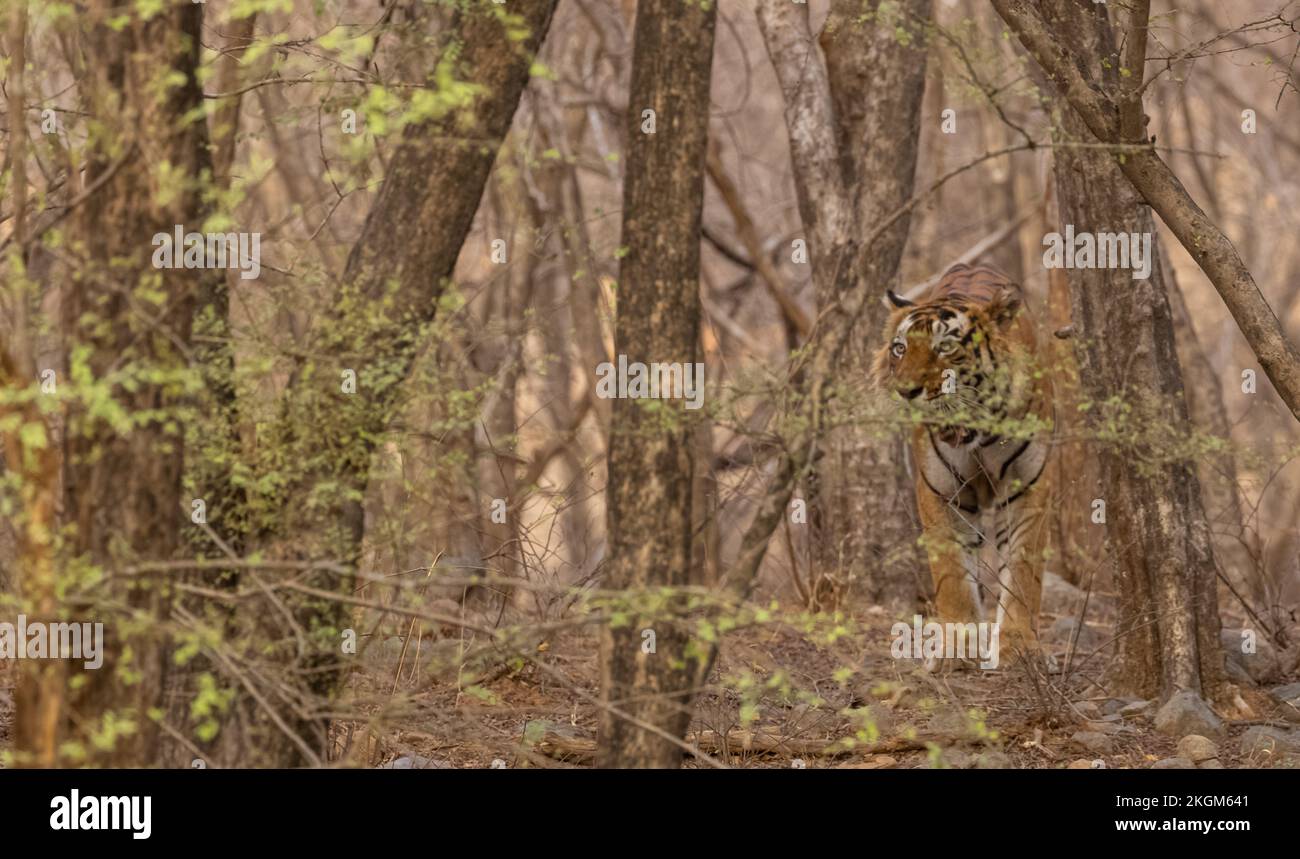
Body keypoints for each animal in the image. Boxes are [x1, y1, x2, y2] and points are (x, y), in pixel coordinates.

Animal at [872, 263, 1055, 667]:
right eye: (900, 348)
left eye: (945, 347)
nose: (906, 391)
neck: (978, 434)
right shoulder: (941, 492)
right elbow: (953, 576)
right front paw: (957, 649)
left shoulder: (1028, 486)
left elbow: (1023, 571)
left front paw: (1019, 647)